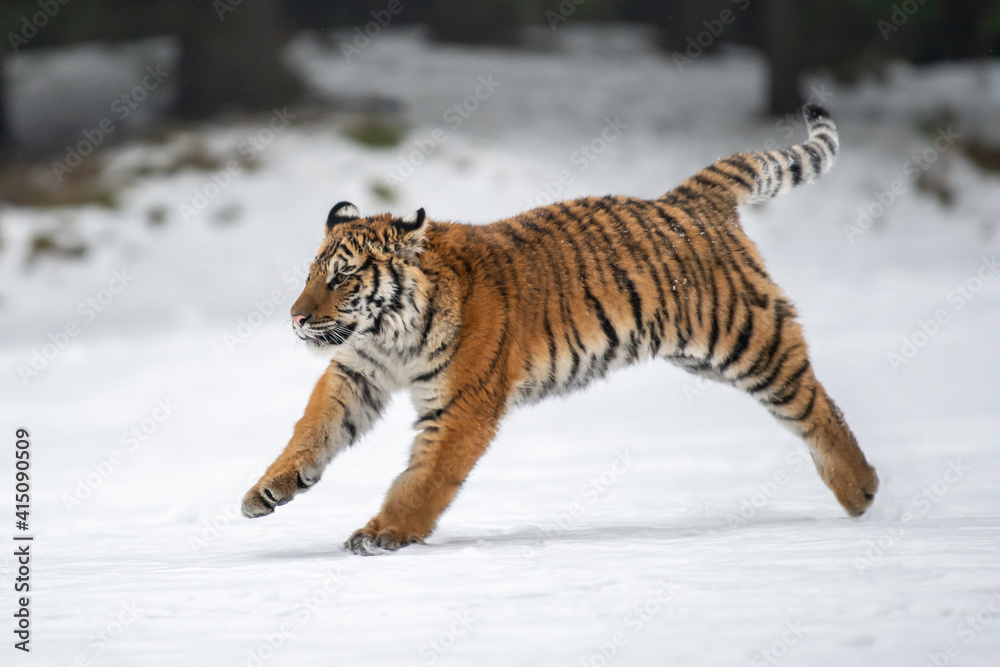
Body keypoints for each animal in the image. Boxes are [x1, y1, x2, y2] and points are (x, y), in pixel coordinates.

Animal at [241, 104, 879, 555]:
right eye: (311, 275)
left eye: (344, 277)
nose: (296, 317)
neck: (390, 333)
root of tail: (689, 199)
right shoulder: (356, 375)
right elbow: (312, 430)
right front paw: (268, 489)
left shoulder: (463, 407)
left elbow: (424, 477)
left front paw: (383, 533)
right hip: (701, 352)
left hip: (747, 338)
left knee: (815, 404)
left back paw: (862, 491)